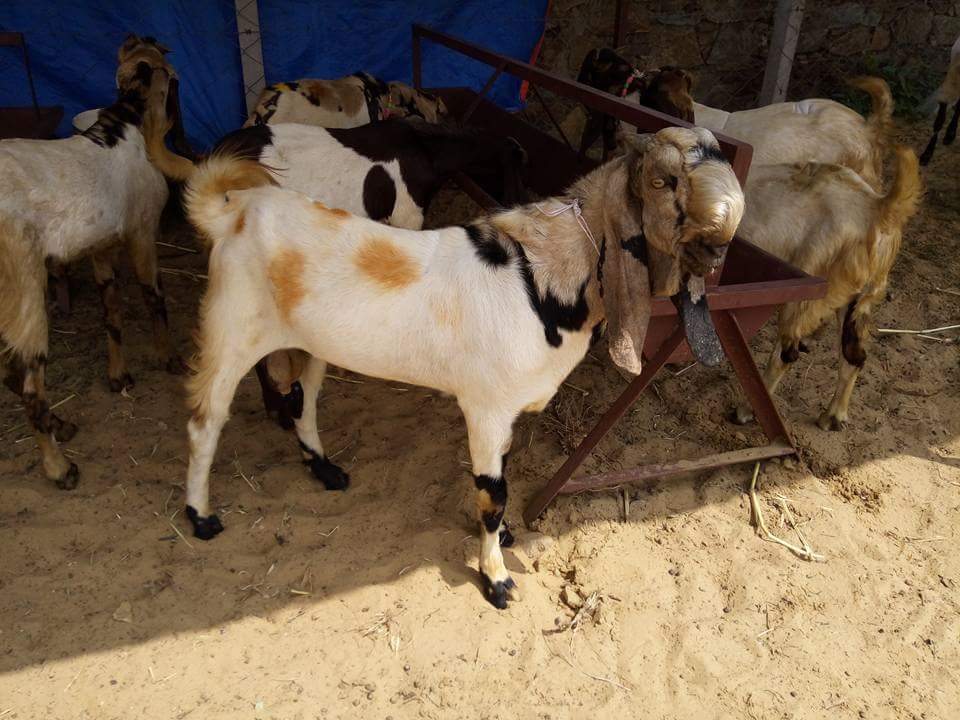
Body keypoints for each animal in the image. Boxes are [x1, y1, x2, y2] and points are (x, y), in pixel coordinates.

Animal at [0, 40, 184, 489]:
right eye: (170, 78)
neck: (126, 122)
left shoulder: (101, 244)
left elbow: (111, 311)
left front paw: (119, 376)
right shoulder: (142, 230)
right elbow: (153, 296)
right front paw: (169, 358)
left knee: (9, 373)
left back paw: (61, 426)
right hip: (24, 288)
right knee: (29, 388)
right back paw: (59, 468)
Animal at [177, 127, 744, 608]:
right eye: (662, 181)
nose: (719, 248)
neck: (538, 277)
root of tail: (231, 212)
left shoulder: (506, 411)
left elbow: (503, 476)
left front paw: (505, 542)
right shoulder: (486, 407)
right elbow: (493, 494)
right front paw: (496, 578)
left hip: (314, 342)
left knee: (303, 398)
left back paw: (324, 467)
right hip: (231, 333)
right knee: (206, 423)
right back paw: (201, 516)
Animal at [731, 146, 922, 431]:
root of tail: (876, 207)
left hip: (805, 291)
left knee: (785, 355)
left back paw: (746, 411)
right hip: (855, 300)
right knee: (854, 355)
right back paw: (833, 416)